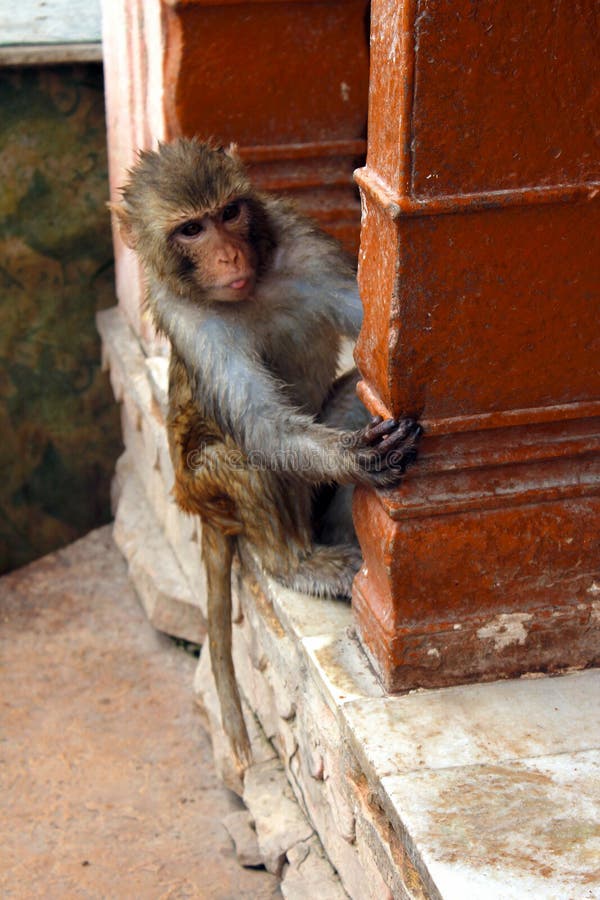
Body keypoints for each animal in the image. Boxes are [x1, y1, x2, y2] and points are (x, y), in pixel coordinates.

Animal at [111, 139, 421, 773]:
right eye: (190, 229)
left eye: (229, 213)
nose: (228, 254)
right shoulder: (190, 320)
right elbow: (258, 424)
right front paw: (357, 462)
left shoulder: (303, 243)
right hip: (203, 492)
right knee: (235, 456)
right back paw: (296, 563)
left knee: (351, 397)